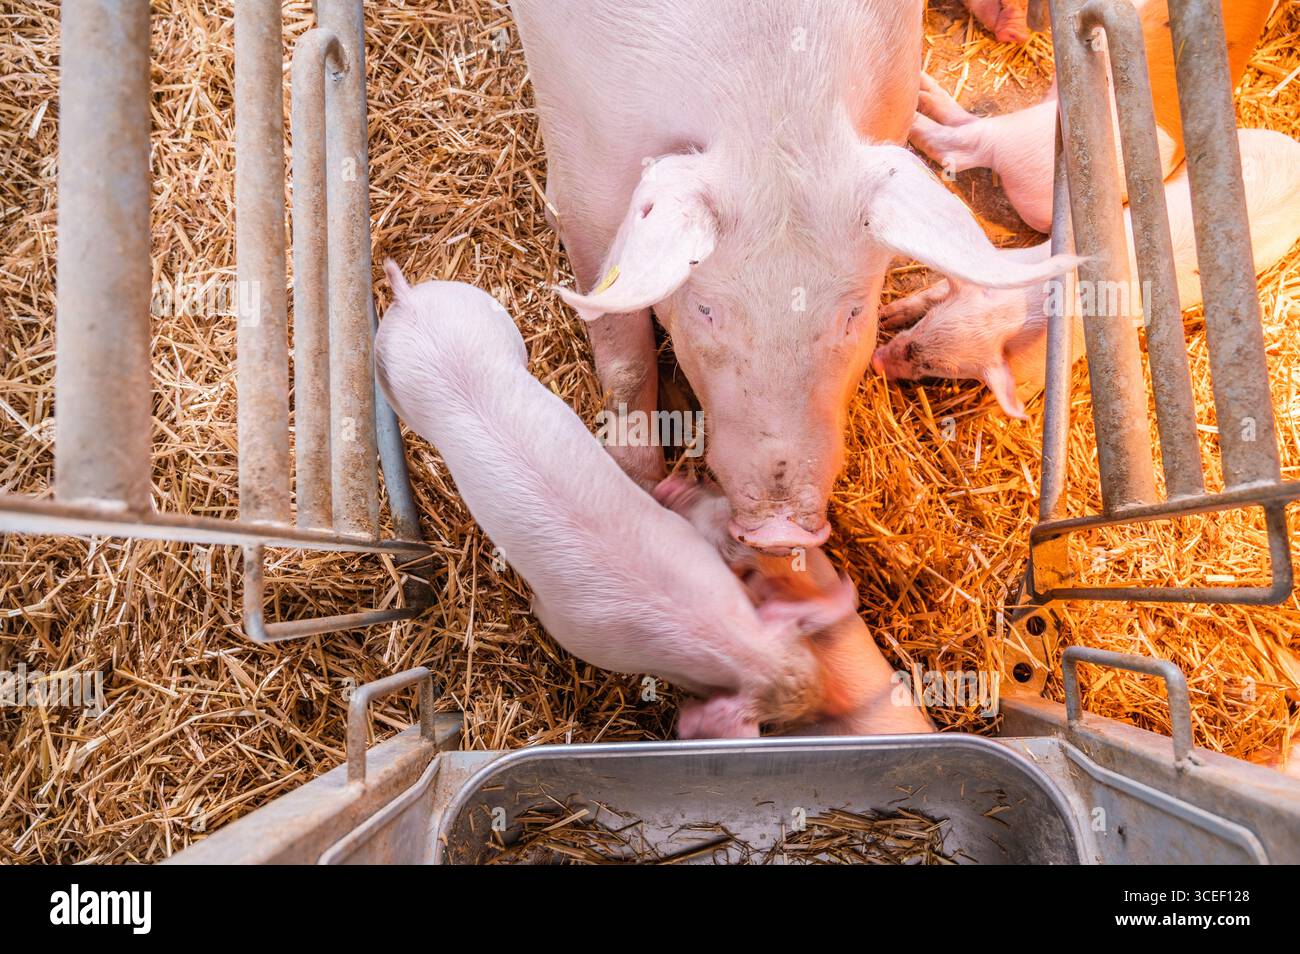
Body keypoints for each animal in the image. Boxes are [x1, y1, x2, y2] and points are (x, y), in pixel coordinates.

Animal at [511, 0, 1078, 553]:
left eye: (853, 312)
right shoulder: (585, 178)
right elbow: (625, 362)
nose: (780, 531)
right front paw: (641, 488)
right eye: (706, 310)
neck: (775, 114)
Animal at [872, 128, 1300, 418]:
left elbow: (1024, 392)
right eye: (925, 324)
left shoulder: (1045, 364)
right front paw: (888, 314)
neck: (1020, 308)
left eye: (936, 368)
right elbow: (933, 290)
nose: (876, 359)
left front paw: (977, 413)